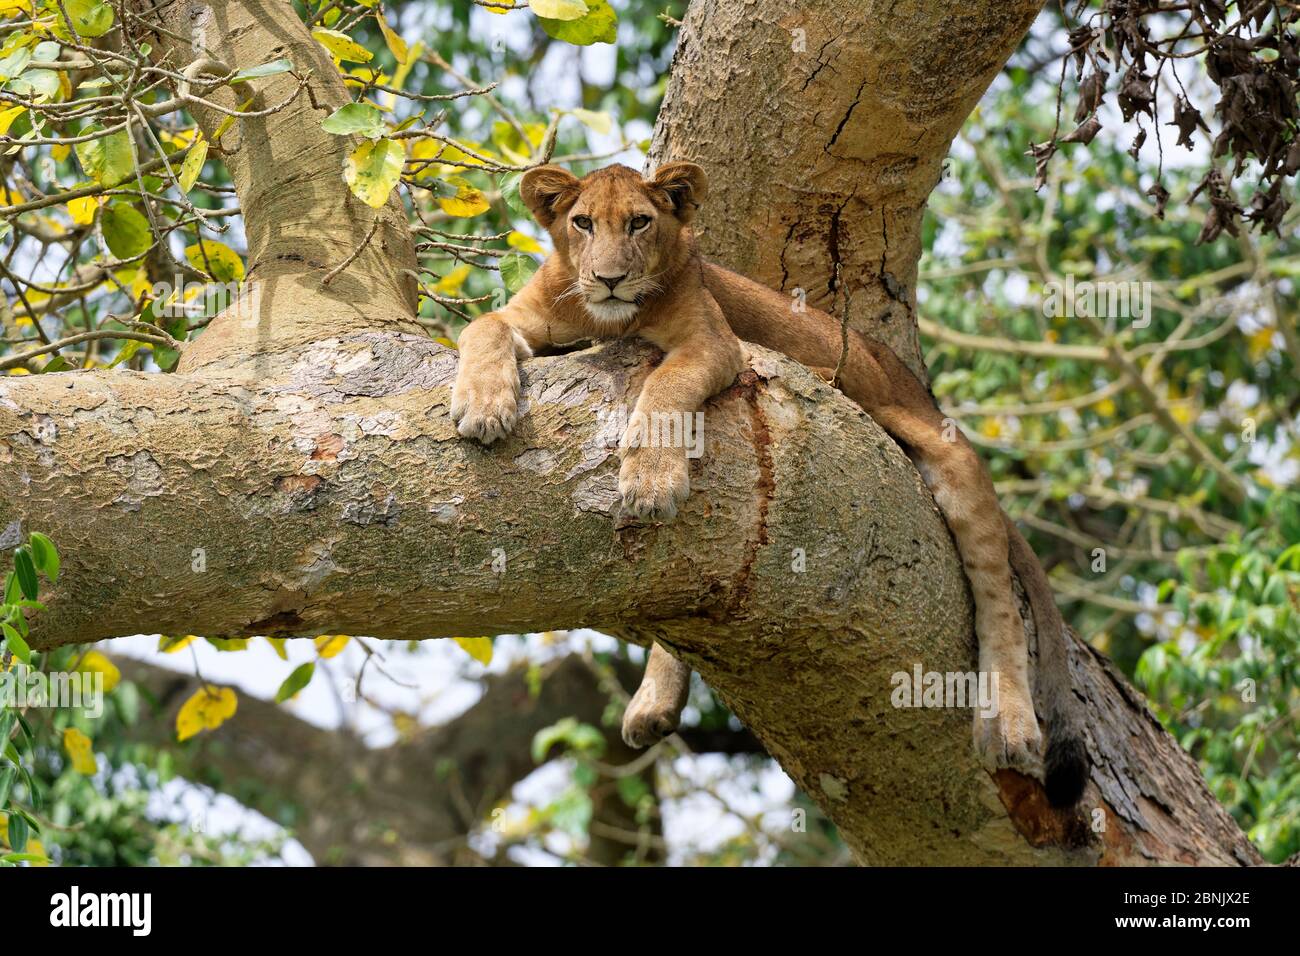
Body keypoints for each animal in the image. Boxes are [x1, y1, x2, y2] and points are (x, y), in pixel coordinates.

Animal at [450, 161, 1088, 807]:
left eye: (639, 223)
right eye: (581, 223)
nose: (608, 280)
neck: (600, 317)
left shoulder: (714, 341)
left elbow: (664, 386)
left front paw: (651, 481)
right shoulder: (528, 317)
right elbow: (482, 326)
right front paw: (483, 405)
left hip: (949, 454)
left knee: (998, 600)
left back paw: (1008, 725)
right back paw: (653, 702)